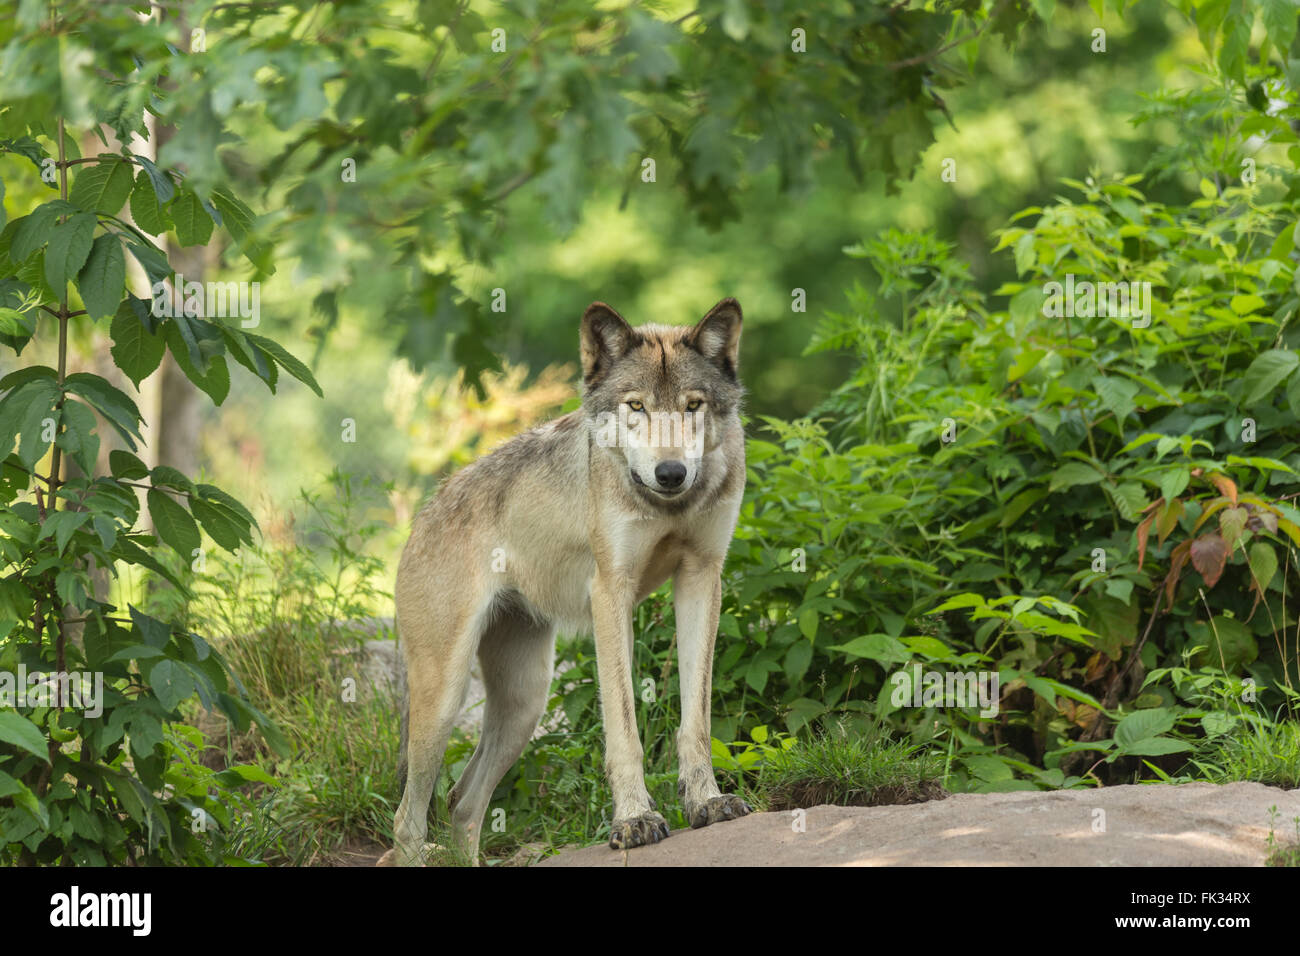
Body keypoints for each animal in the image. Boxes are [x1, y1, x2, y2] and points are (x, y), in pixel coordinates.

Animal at [384, 297, 751, 865]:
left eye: (693, 406)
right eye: (636, 406)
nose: (670, 473)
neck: (666, 505)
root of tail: (424, 512)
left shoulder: (701, 576)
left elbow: (696, 721)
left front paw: (707, 803)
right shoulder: (611, 592)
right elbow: (624, 729)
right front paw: (634, 821)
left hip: (525, 703)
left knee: (463, 802)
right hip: (445, 698)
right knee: (408, 821)